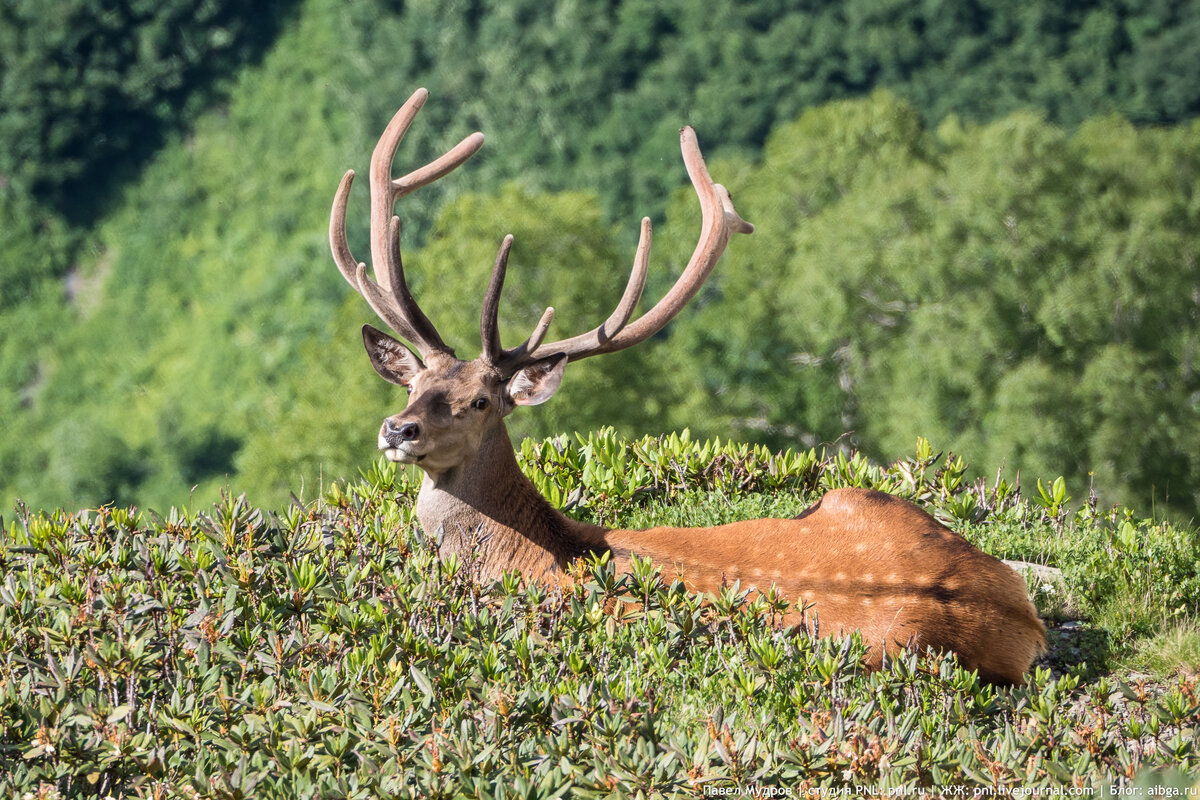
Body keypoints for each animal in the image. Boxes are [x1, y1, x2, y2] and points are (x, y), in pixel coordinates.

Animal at [326, 89, 1041, 690]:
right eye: (416, 382)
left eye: (480, 402)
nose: (399, 429)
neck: (524, 556)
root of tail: (1021, 616)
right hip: (860, 497)